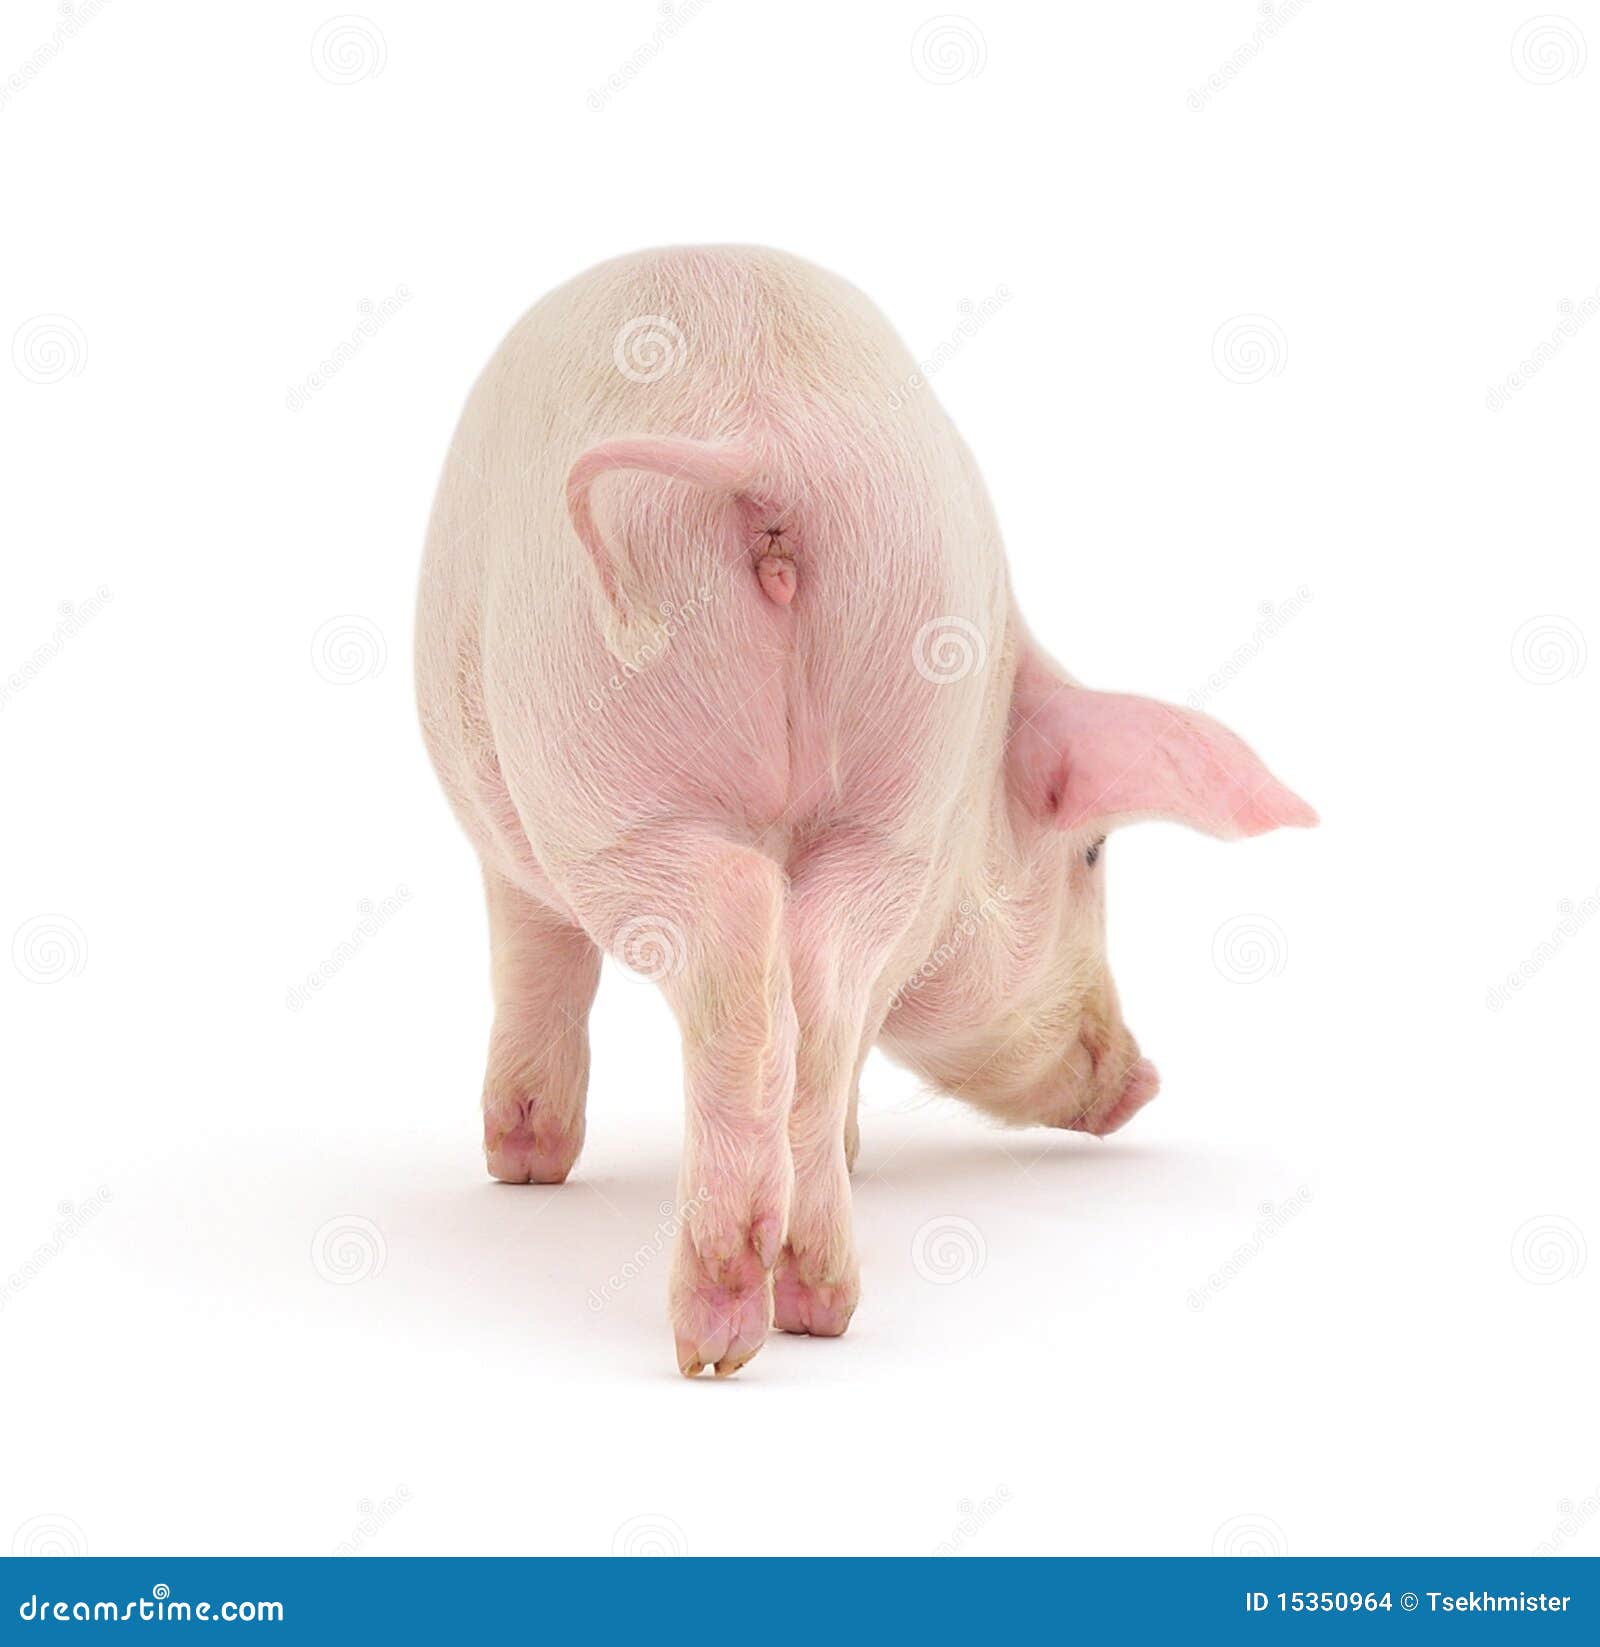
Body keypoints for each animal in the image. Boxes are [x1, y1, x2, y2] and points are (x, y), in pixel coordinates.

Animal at [415, 246, 1314, 1376]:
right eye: (1094, 850)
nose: (1140, 1080)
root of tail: (765, 439)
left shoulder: (512, 840)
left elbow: (538, 963)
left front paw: (522, 1166)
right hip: (896, 738)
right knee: (815, 976)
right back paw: (810, 1298)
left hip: (597, 757)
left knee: (740, 939)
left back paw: (720, 1329)